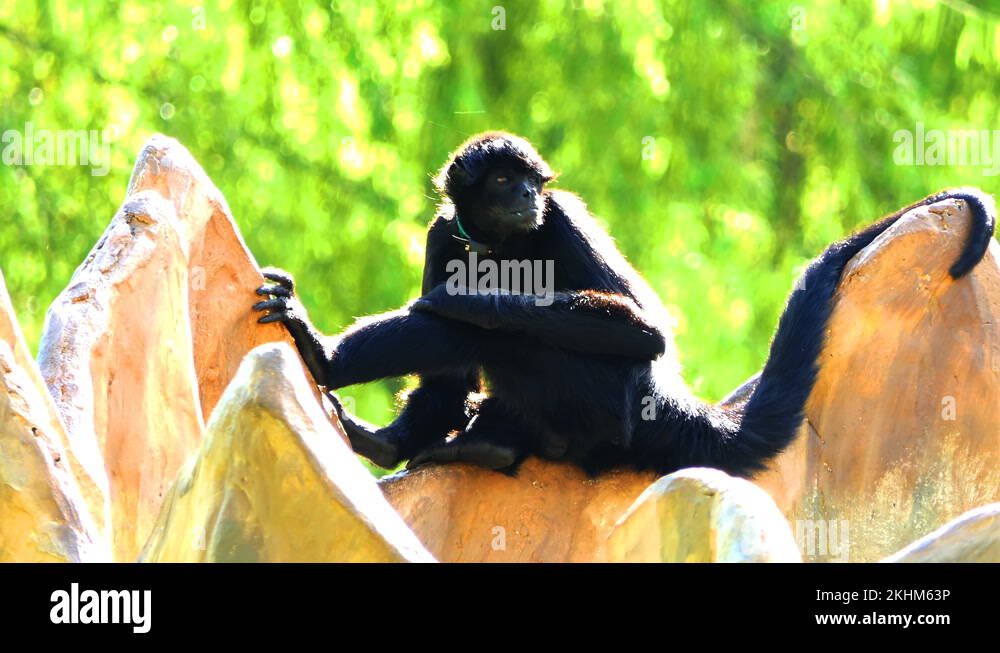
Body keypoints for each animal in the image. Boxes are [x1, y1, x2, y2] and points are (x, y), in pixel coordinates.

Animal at [253, 131, 996, 478]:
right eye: (504, 181)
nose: (527, 195)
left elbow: (645, 332)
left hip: (603, 405)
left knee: (485, 336)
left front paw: (471, 295)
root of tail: (664, 405)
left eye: (530, 182)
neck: (504, 240)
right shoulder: (445, 231)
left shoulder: (562, 218)